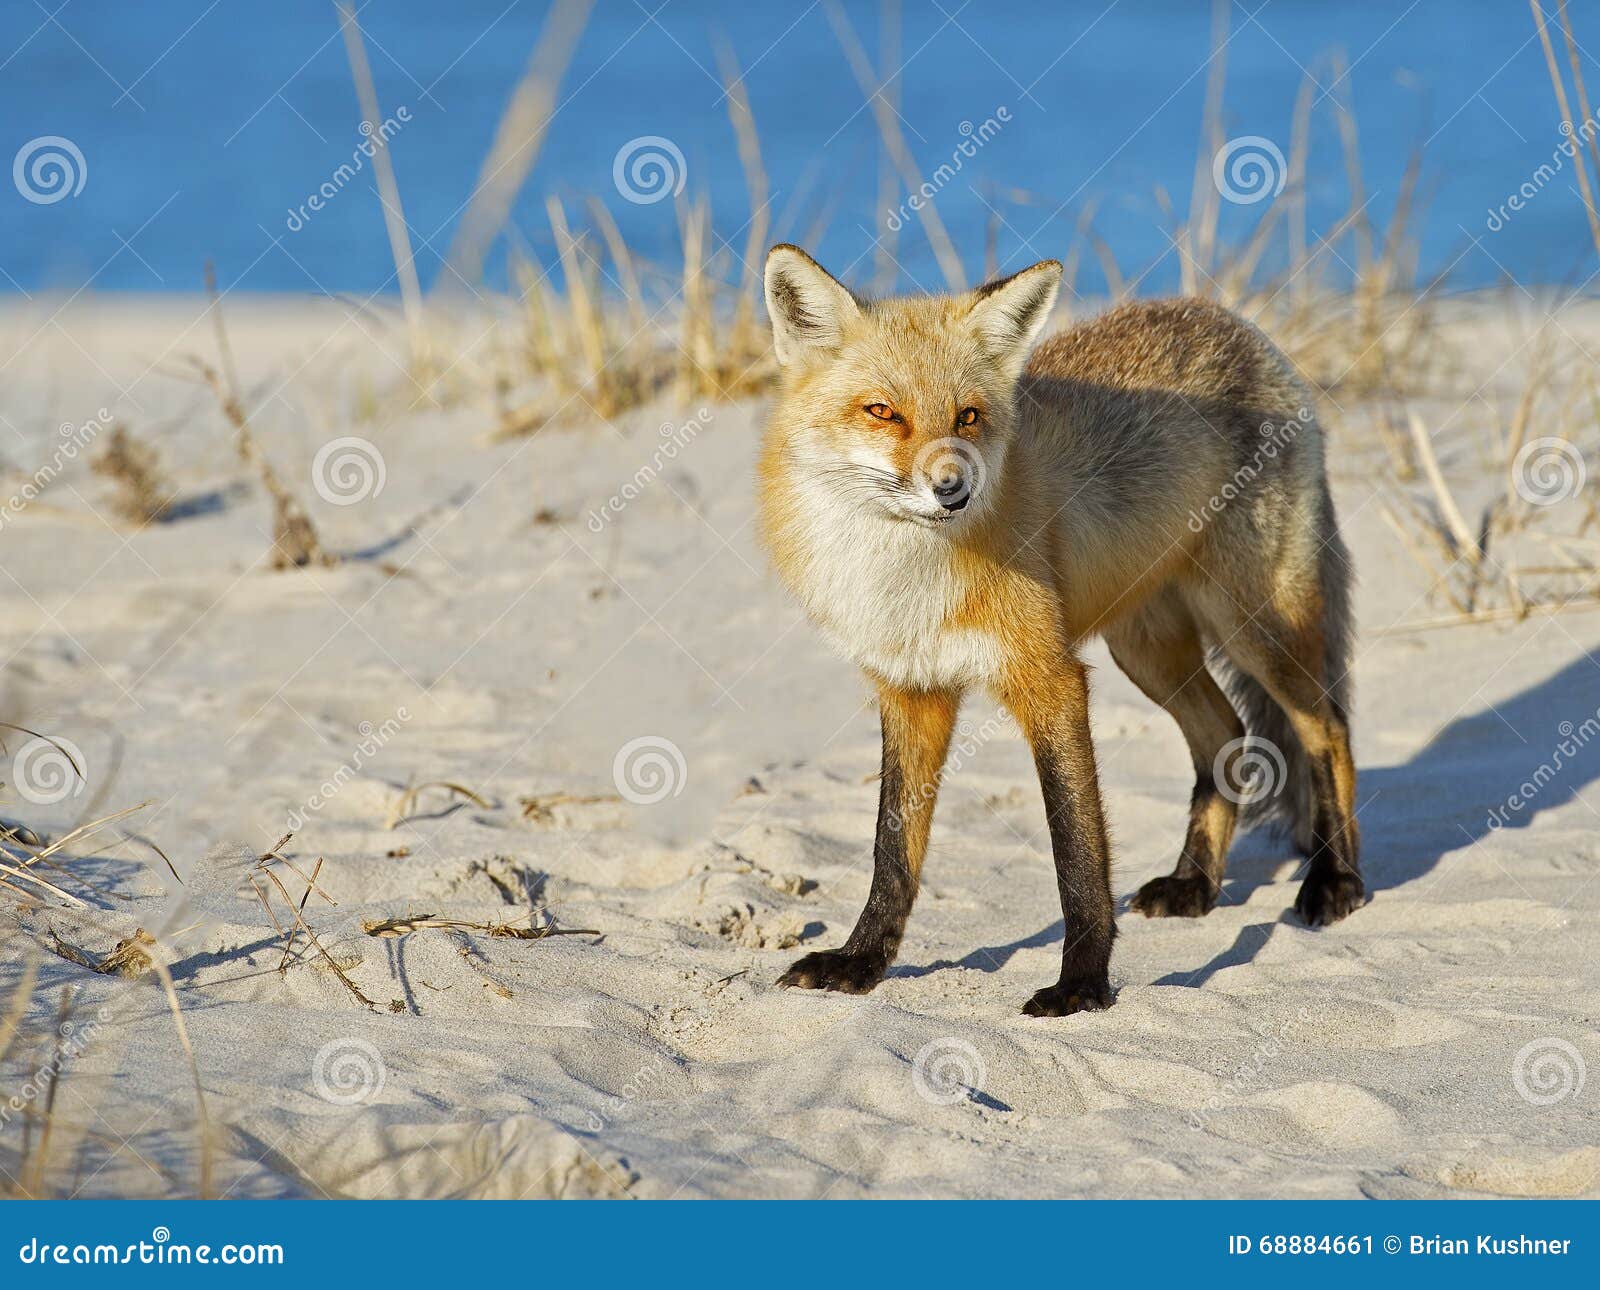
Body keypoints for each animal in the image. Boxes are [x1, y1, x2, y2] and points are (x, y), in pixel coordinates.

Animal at [756, 244, 1361, 1016]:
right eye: (882, 412)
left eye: (969, 415)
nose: (952, 488)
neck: (907, 579)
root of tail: (1227, 318)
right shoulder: (911, 689)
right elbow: (893, 851)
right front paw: (861, 961)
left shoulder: (1050, 678)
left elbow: (1076, 848)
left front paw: (1082, 985)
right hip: (1149, 652)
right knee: (1227, 733)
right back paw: (1195, 884)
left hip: (1254, 626)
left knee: (1327, 728)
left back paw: (1336, 882)